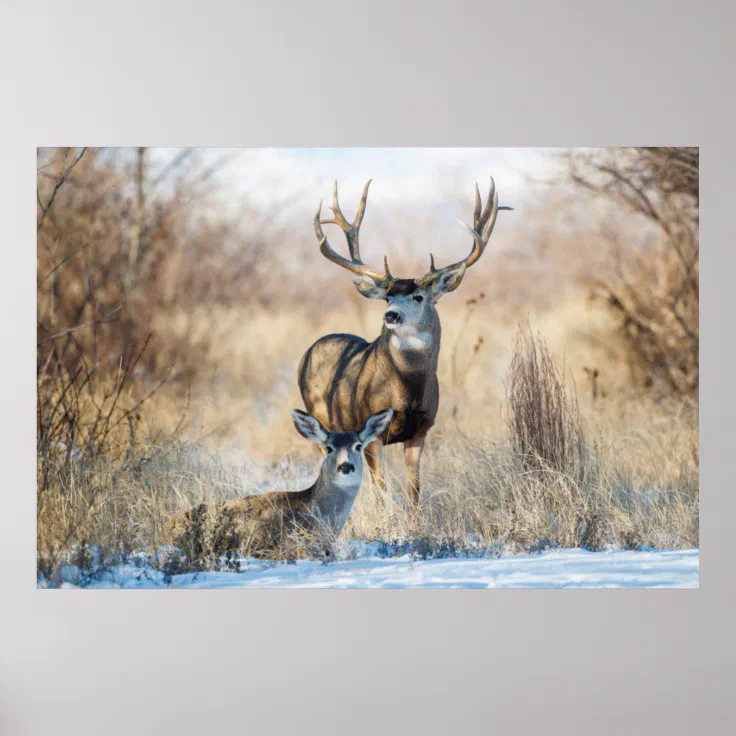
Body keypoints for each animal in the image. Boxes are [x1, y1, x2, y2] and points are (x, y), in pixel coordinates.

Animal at [298, 177, 512, 506]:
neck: (406, 390)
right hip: (322, 419)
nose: (391, 315)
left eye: (418, 296)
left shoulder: (421, 430)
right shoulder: (371, 431)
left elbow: (414, 490)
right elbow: (382, 489)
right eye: (388, 296)